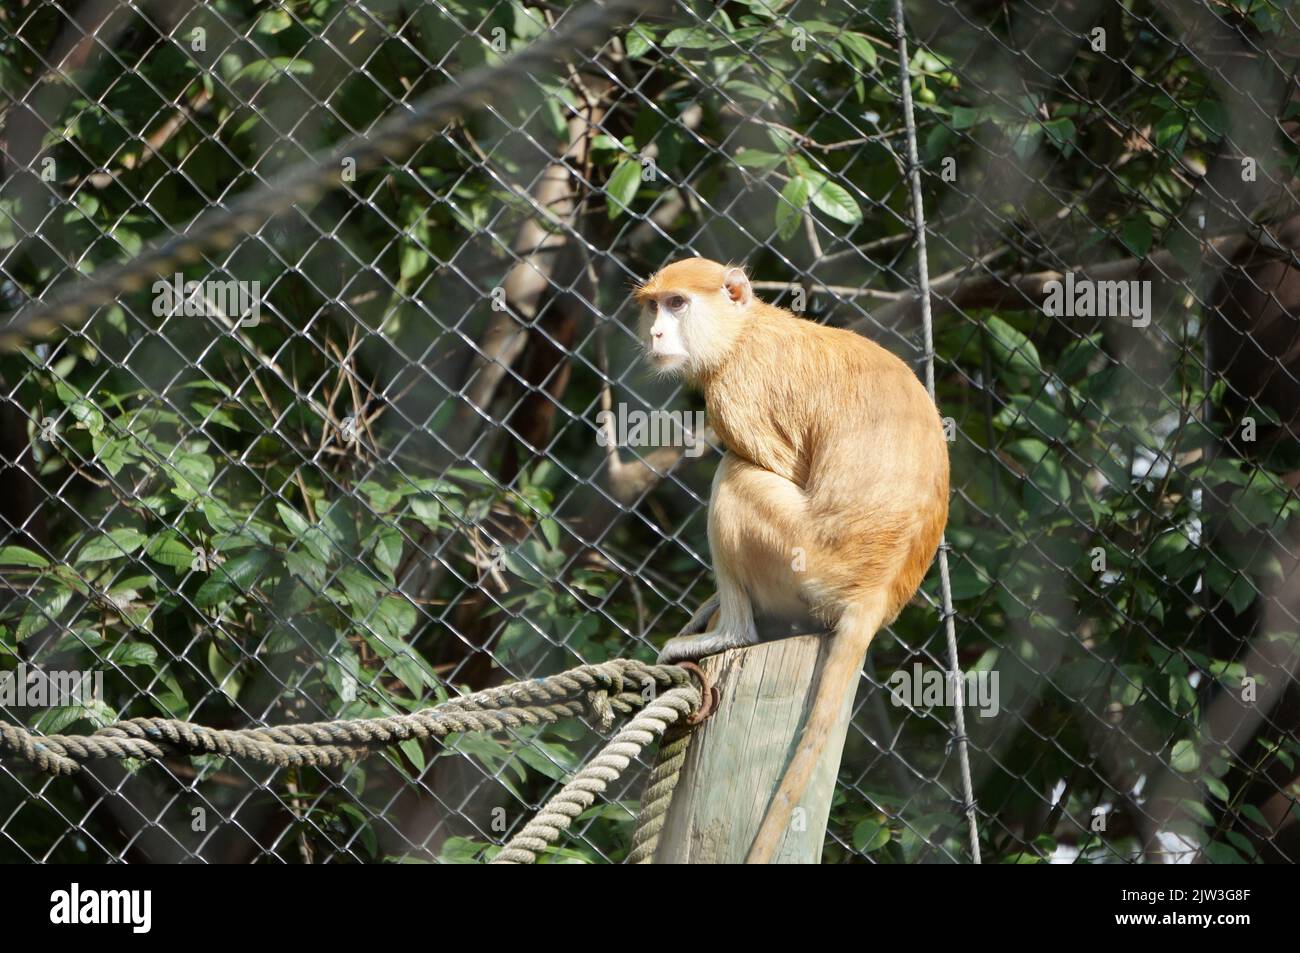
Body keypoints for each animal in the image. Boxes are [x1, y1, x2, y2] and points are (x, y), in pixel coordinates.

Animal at [634, 257, 949, 863]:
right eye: (653, 305)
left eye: (678, 304)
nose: (657, 333)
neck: (742, 332)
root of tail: (873, 593)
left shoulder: (738, 391)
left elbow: (765, 464)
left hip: (806, 562)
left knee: (736, 477)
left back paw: (731, 631)